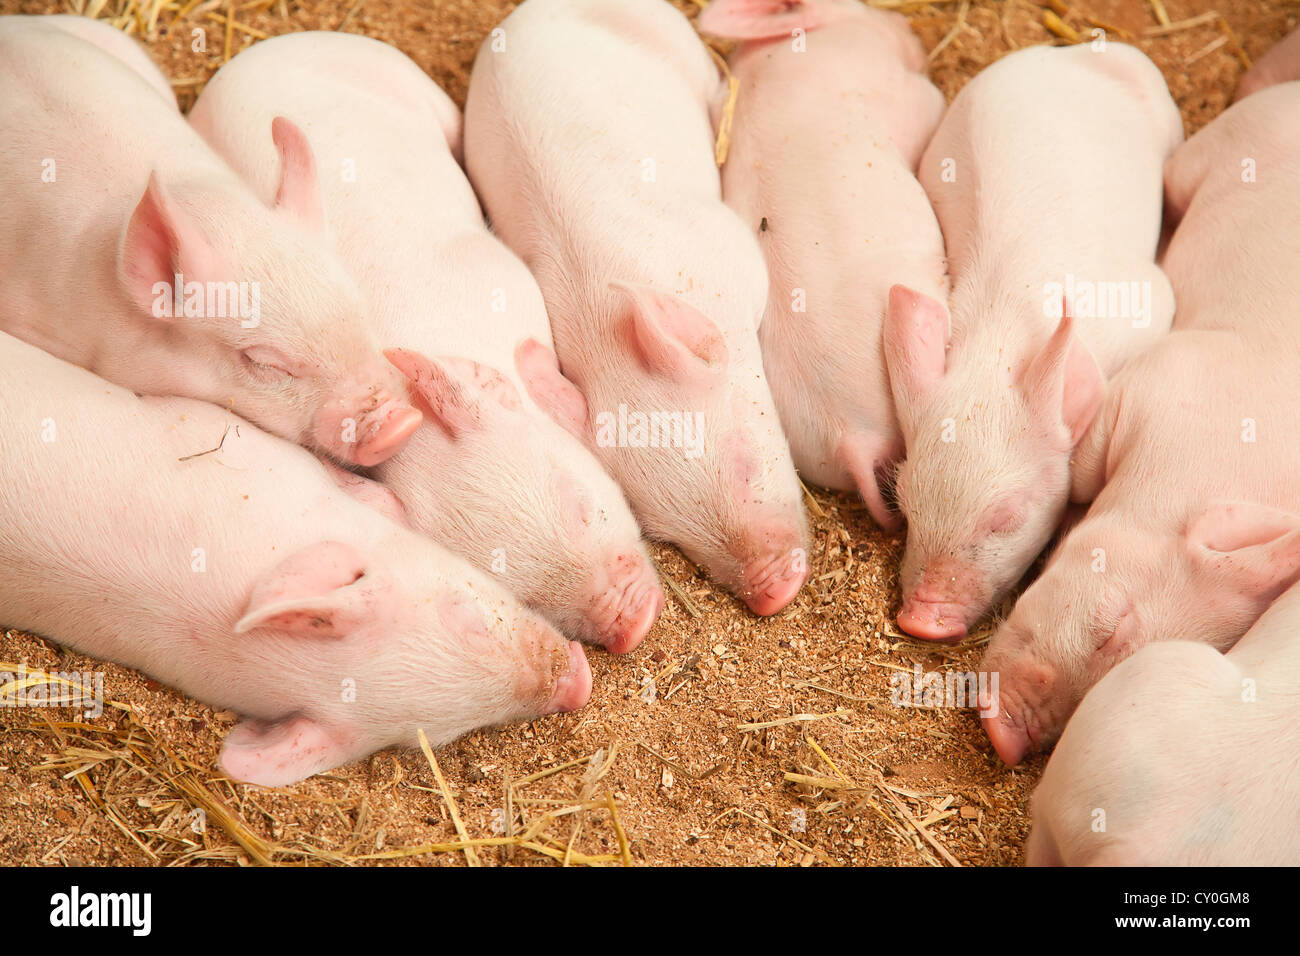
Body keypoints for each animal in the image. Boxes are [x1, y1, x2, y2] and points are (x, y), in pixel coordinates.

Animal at [188, 31, 663, 653]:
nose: (633, 622)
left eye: (580, 506)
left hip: (407, 80)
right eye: (526, 596)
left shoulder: (500, 272)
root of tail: (250, 55)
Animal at [884, 43, 1182, 640]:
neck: (1000, 341)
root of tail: (1059, 52)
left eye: (1006, 518)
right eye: (905, 504)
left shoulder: (1149, 302)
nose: (920, 621)